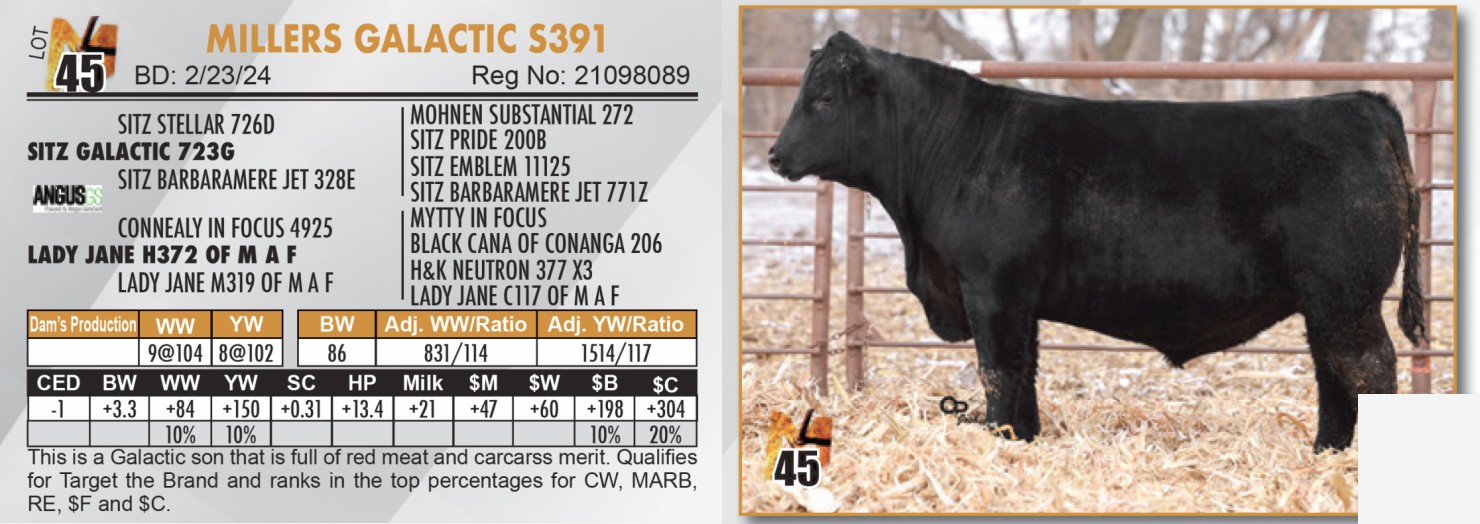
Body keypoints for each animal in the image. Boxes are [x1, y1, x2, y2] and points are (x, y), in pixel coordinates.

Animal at [767, 31, 1425, 452]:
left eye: (823, 98)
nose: (774, 155)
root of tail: (1363, 105)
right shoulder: (1018, 299)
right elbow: (1024, 372)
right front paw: (1023, 442)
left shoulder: (992, 290)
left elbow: (998, 372)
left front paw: (997, 441)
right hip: (1326, 305)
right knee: (1334, 378)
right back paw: (1325, 454)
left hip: (1346, 300)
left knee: (1370, 370)